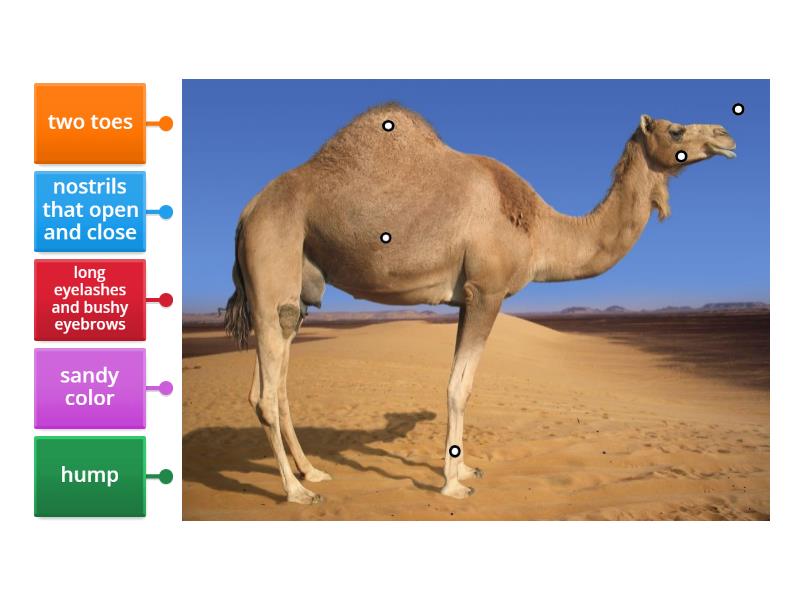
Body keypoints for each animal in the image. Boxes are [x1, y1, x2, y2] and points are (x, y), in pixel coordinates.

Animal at [225, 103, 736, 504]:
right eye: (676, 130)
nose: (727, 136)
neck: (541, 228)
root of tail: (246, 212)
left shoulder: (464, 298)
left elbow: (461, 383)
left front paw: (465, 466)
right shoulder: (486, 291)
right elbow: (460, 387)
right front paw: (454, 484)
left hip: (296, 289)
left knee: (275, 382)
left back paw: (312, 471)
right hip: (273, 259)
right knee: (266, 392)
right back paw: (296, 491)